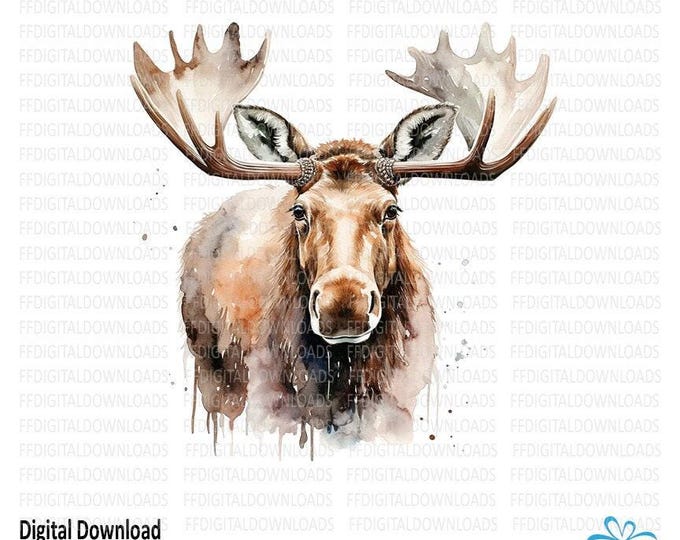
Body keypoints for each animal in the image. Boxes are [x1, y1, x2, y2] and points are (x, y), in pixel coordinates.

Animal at [130, 22, 555, 452]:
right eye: (299, 210)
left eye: (391, 210)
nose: (343, 306)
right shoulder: (269, 403)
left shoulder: (398, 407)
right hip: (210, 364)